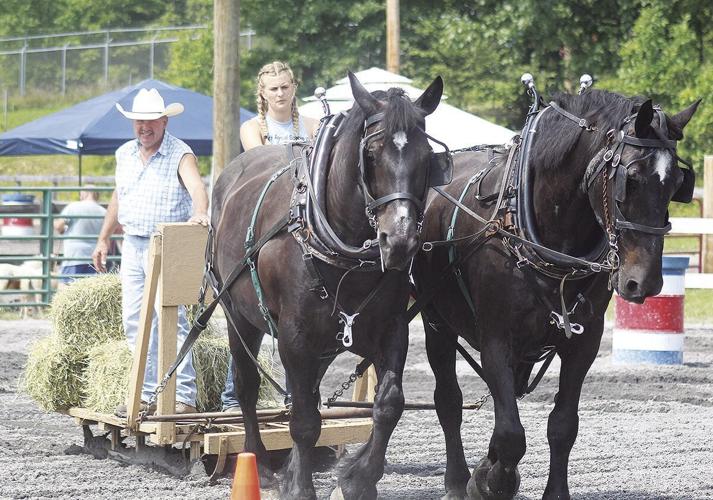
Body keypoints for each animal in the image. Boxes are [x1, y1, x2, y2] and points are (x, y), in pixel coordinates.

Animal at [210, 72, 444, 499]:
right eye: (372, 154)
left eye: (426, 157)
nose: (399, 240)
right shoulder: (294, 335)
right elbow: (304, 420)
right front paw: (301, 487)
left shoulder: (391, 329)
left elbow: (389, 405)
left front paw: (358, 478)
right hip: (239, 316)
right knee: (249, 385)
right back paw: (261, 462)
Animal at [412, 88, 699, 499]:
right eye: (631, 178)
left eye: (677, 183)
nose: (643, 282)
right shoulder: (495, 339)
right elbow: (511, 433)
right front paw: (493, 481)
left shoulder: (584, 344)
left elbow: (562, 425)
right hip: (437, 322)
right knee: (449, 400)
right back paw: (457, 480)